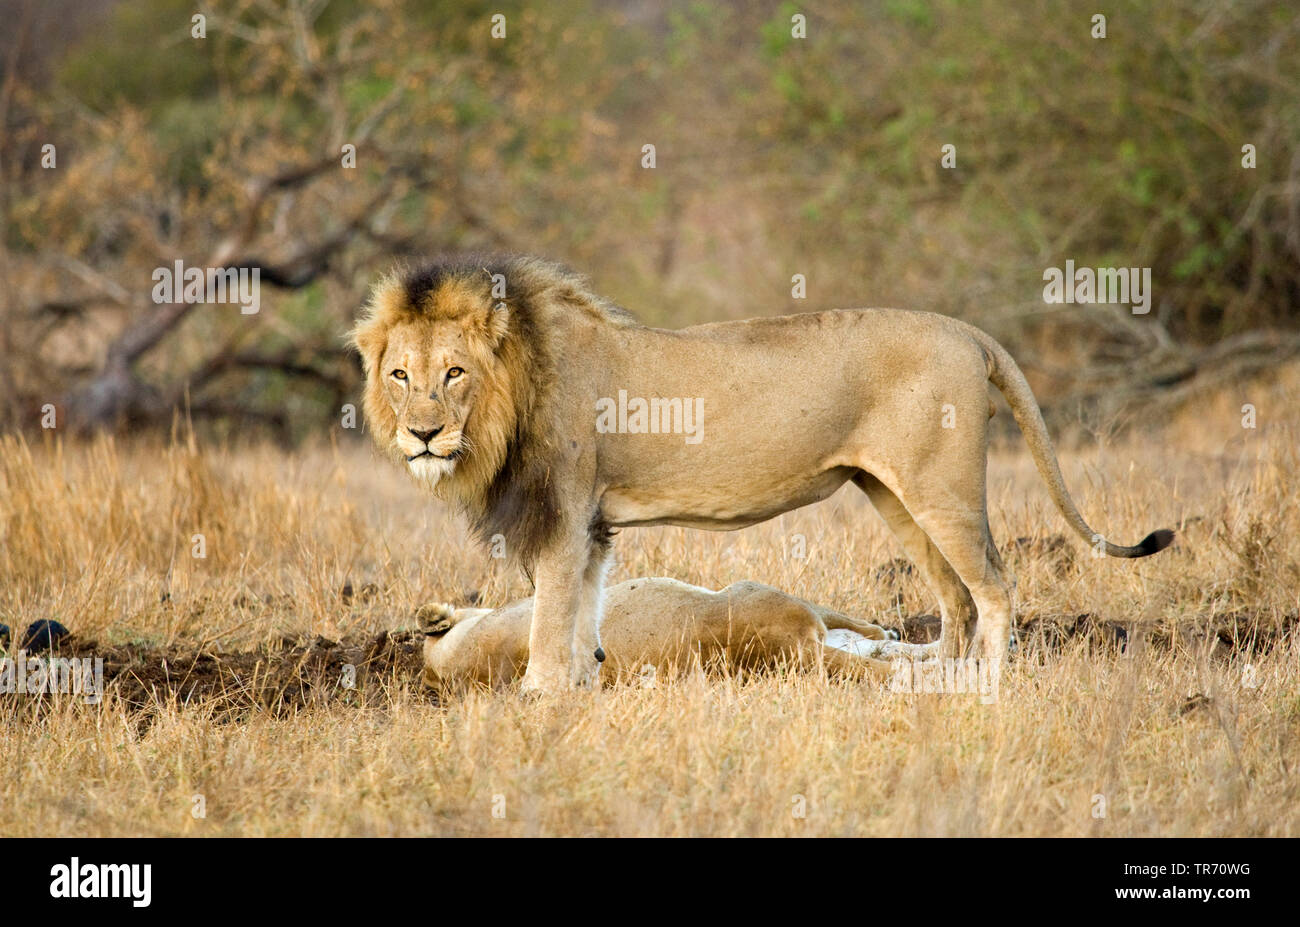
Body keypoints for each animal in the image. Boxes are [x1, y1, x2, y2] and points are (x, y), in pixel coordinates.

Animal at [351, 256, 1173, 694]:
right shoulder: (591, 525)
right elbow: (582, 613)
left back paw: (982, 688)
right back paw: (928, 672)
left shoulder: (560, 515)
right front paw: (583, 688)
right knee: (955, 598)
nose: (422, 434)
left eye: (453, 373)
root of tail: (967, 331)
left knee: (996, 587)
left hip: (942, 490)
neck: (515, 387)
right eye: (399, 375)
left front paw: (539, 699)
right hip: (893, 493)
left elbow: (551, 621)